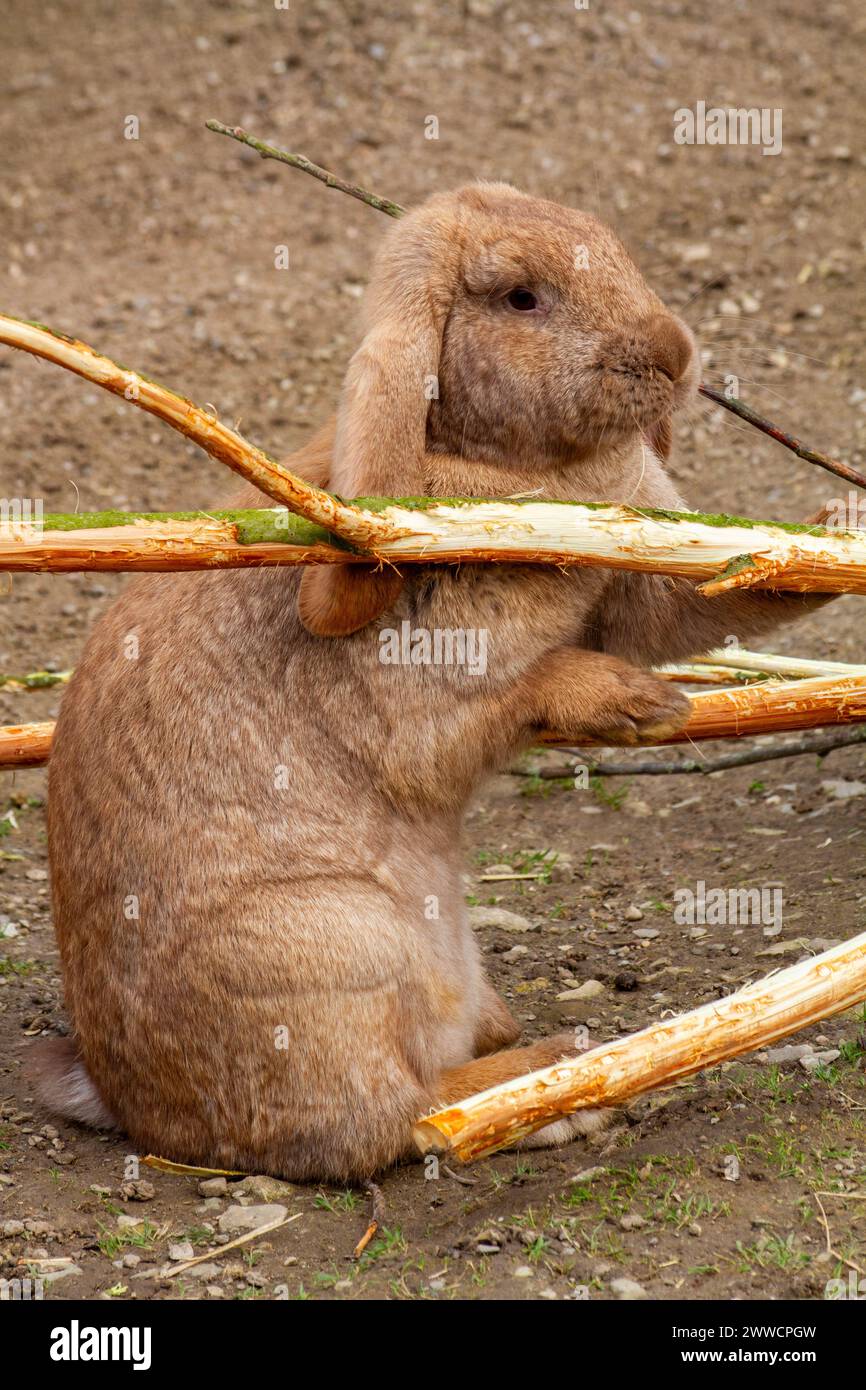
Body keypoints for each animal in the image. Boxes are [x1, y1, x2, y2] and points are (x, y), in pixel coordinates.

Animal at [35, 182, 824, 1181]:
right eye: (520, 298)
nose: (678, 357)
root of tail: (137, 1111)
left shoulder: (645, 591)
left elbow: (706, 599)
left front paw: (823, 535)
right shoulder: (426, 701)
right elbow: (519, 693)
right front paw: (639, 705)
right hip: (337, 951)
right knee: (400, 1118)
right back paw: (557, 1082)